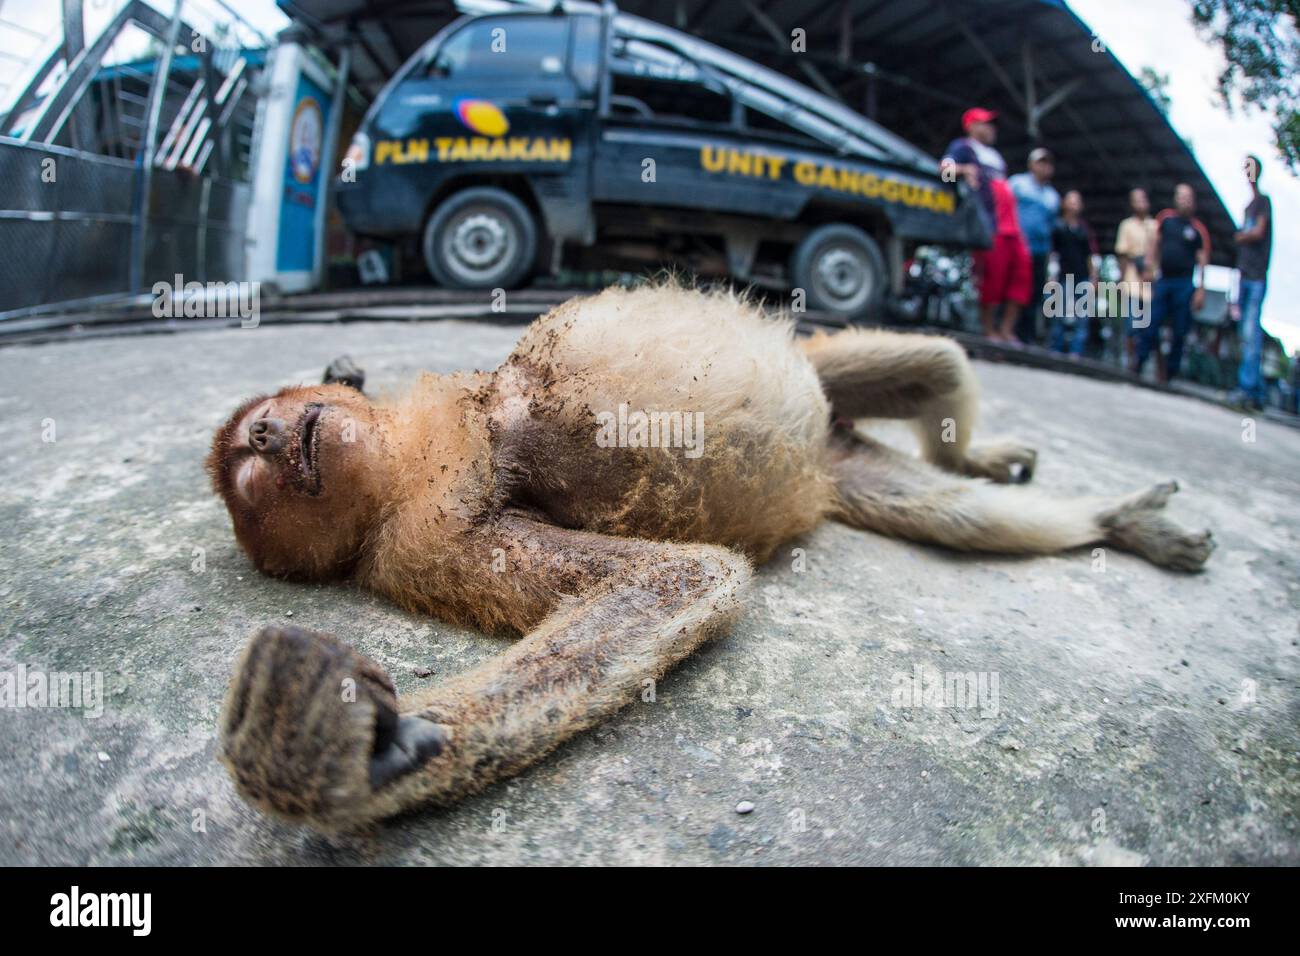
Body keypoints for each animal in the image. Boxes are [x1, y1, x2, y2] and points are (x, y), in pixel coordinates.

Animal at [207, 283, 1213, 833]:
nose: (263, 436)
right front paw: (384, 752)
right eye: (248, 473)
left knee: (936, 369)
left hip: (827, 384)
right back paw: (1107, 521)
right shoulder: (423, 533)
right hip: (846, 467)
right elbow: (677, 577)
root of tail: (824, 458)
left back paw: (1028, 476)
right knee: (958, 508)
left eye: (259, 436)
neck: (409, 448)